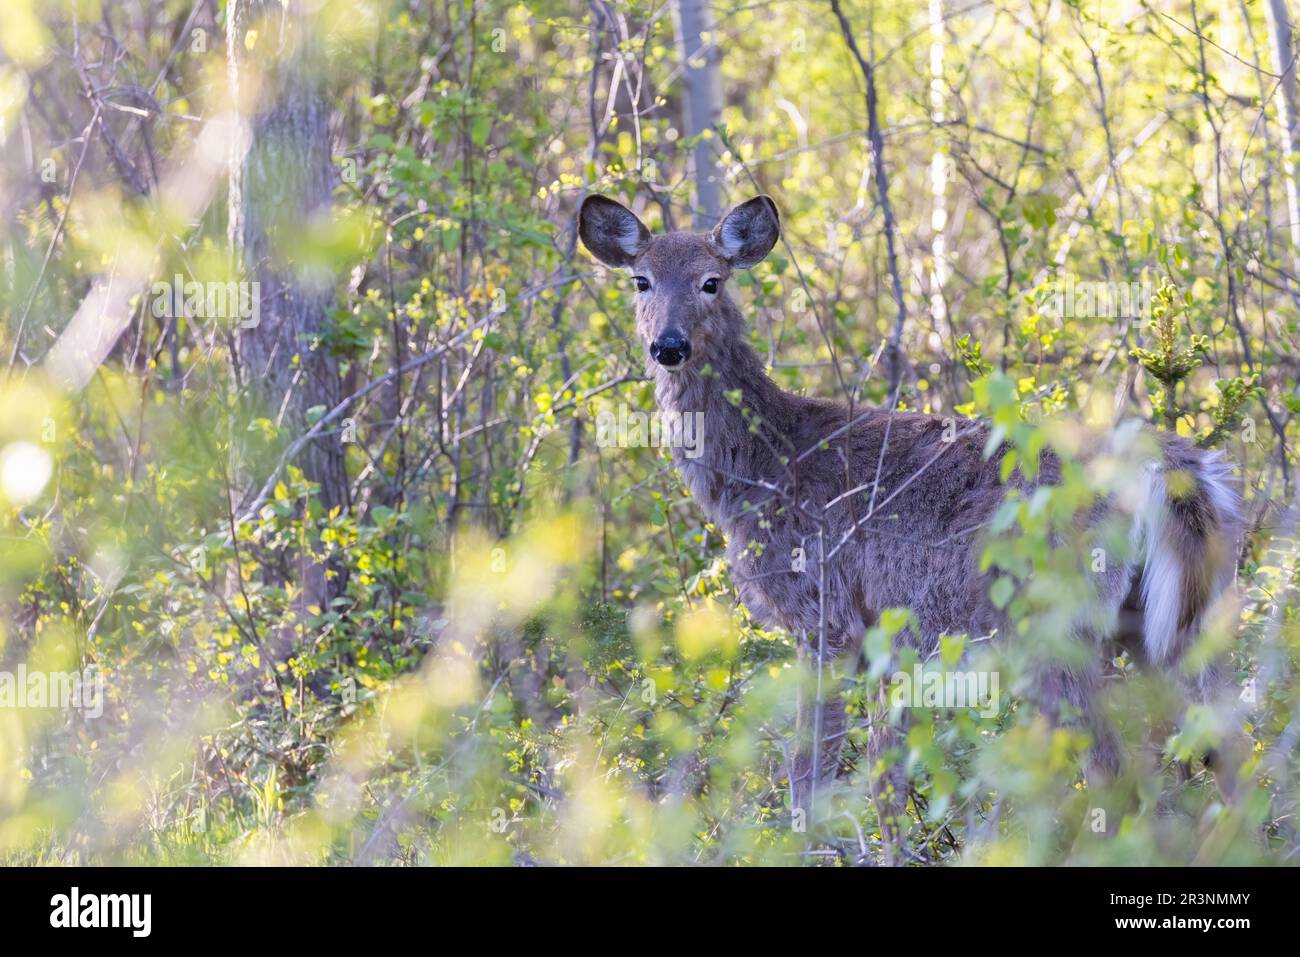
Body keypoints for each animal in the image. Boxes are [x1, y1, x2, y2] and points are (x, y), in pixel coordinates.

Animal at [578, 193, 1247, 860]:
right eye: (641, 280)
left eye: (711, 281)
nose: (668, 345)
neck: (764, 467)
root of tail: (1177, 471)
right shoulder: (885, 636)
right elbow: (885, 778)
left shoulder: (824, 613)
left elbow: (810, 772)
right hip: (1177, 622)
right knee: (1228, 752)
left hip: (1056, 621)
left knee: (1112, 767)